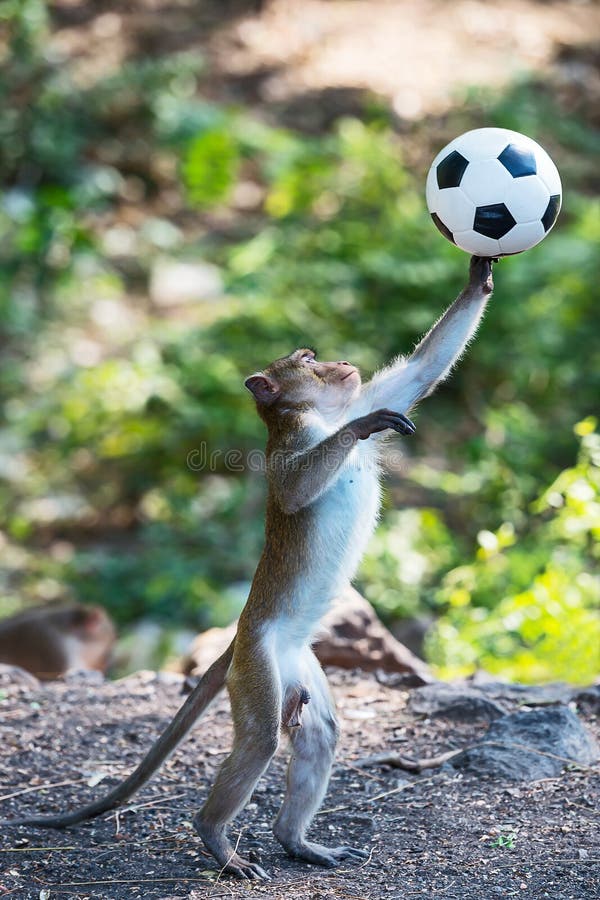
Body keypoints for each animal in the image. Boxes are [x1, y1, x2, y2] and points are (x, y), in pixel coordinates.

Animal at [1, 256, 494, 880]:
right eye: (307, 360)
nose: (341, 363)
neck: (318, 416)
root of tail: (238, 638)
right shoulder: (291, 447)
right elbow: (295, 489)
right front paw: (358, 433)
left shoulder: (351, 401)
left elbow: (423, 370)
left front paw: (480, 273)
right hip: (257, 666)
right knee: (259, 739)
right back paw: (215, 836)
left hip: (296, 665)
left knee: (319, 733)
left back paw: (295, 840)